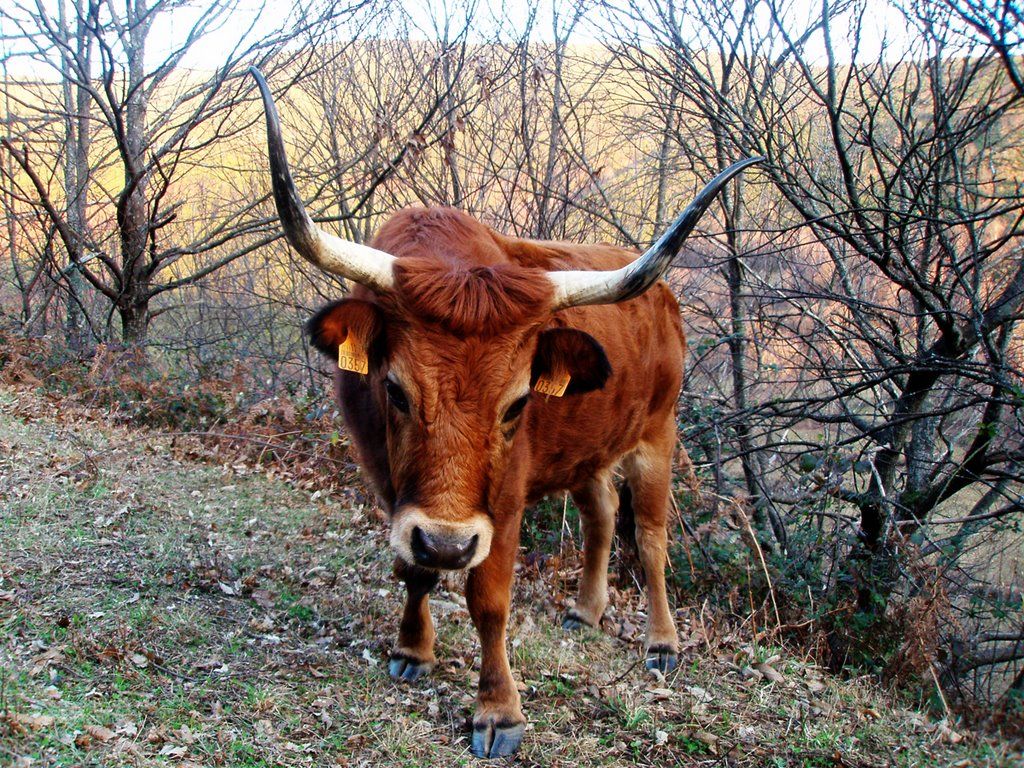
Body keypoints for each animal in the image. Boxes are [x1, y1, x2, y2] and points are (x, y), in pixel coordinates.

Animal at [250, 67, 759, 758]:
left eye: (517, 403)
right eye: (395, 390)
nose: (446, 540)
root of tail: (663, 297)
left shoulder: (505, 501)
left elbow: (488, 599)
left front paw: (498, 711)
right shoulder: (390, 485)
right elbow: (411, 567)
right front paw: (413, 649)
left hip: (658, 433)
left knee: (652, 539)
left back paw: (662, 642)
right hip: (589, 447)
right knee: (601, 514)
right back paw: (586, 610)